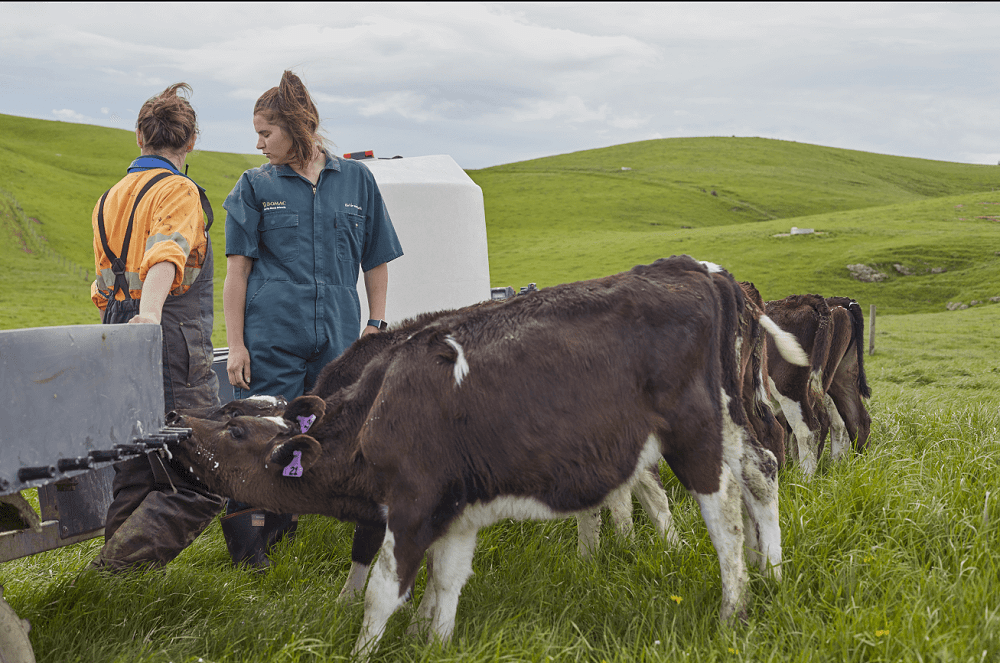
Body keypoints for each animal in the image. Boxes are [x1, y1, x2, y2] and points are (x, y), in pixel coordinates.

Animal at [168, 256, 801, 660]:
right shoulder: (455, 512)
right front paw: (432, 642)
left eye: (238, 430)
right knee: (761, 472)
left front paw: (362, 643)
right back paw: (770, 572)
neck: (379, 404)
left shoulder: (409, 503)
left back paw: (734, 608)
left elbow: (381, 589)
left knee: (722, 511)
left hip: (694, 434)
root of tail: (690, 270)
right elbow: (445, 583)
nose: (179, 427)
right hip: (729, 419)